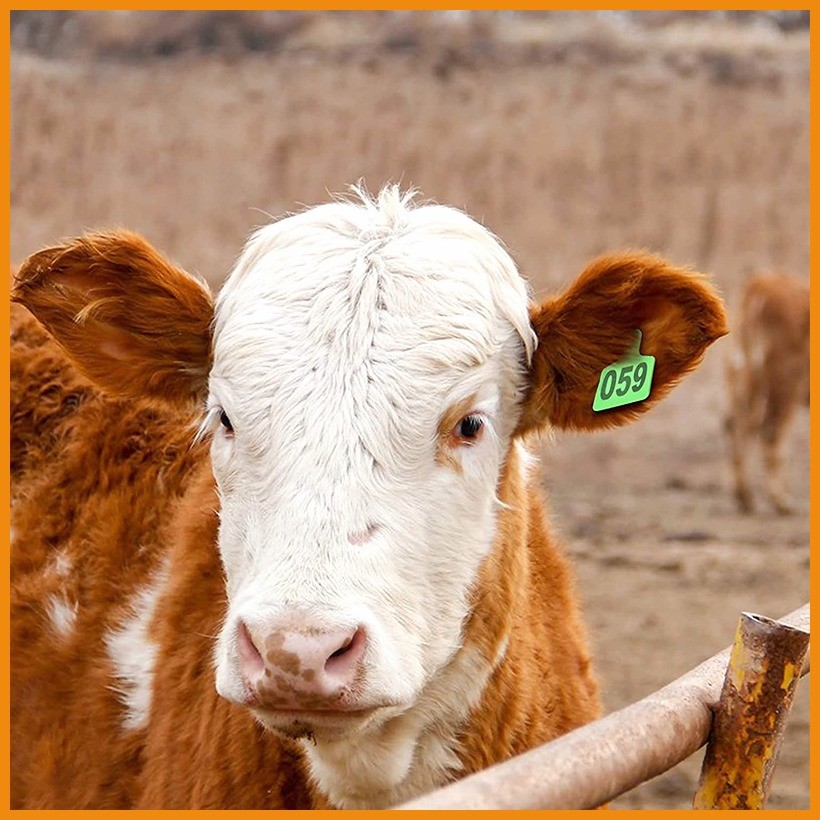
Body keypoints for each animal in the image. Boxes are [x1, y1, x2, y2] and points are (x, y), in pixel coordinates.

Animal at [725, 272, 809, 515]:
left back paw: (745, 498)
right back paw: (780, 501)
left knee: (735, 425)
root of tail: (760, 283)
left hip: (744, 381)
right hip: (784, 386)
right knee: (770, 434)